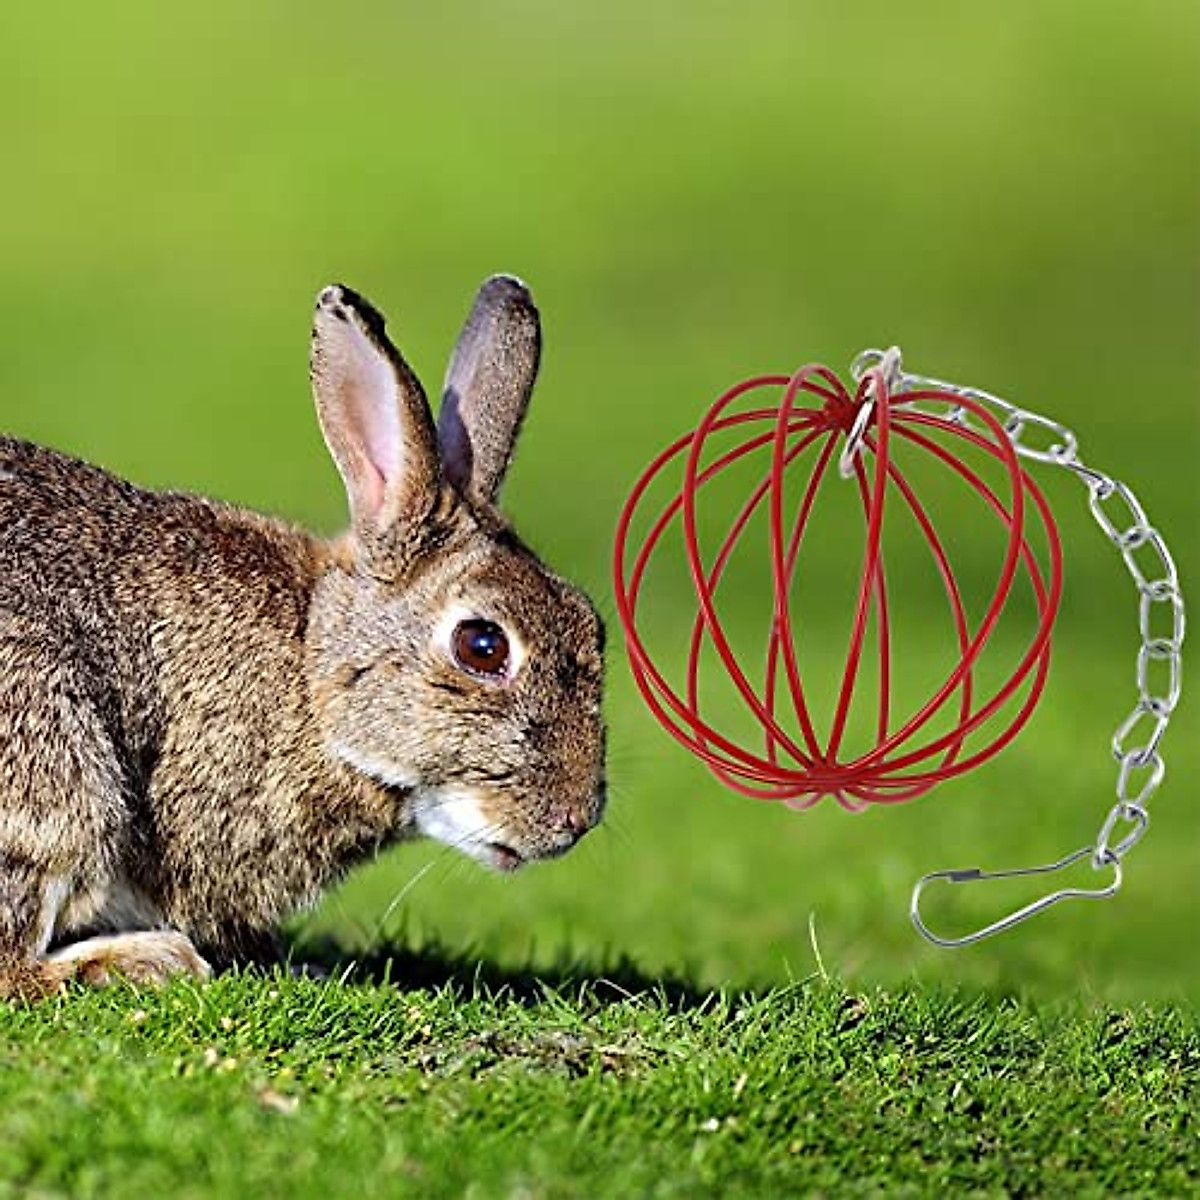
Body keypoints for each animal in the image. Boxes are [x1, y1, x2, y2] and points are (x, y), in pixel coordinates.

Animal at [0, 275, 606, 1001]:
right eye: (482, 646)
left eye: (593, 625)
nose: (576, 819)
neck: (310, 667)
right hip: (60, 769)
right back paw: (145, 961)